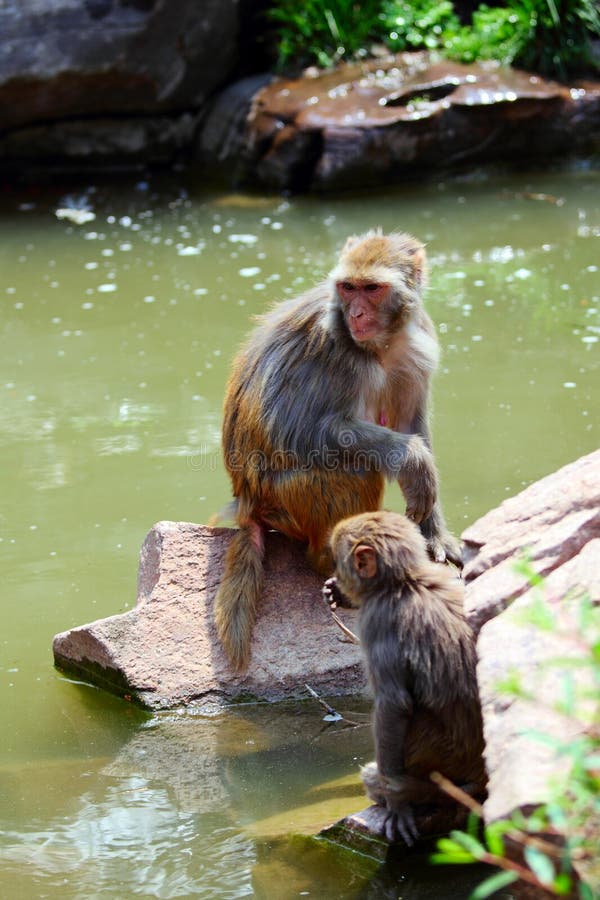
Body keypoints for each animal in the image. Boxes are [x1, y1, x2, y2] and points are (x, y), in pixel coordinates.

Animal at [214, 229, 461, 670]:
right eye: (348, 288)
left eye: (372, 289)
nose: (357, 316)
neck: (384, 342)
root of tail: (245, 501)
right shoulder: (329, 346)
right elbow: (299, 428)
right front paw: (412, 461)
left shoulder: (419, 346)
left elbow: (412, 424)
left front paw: (434, 532)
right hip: (286, 499)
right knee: (354, 466)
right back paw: (341, 571)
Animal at [328, 510, 486, 845]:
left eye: (337, 559)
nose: (336, 574)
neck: (407, 581)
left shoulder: (378, 619)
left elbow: (394, 705)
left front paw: (397, 801)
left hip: (434, 757)